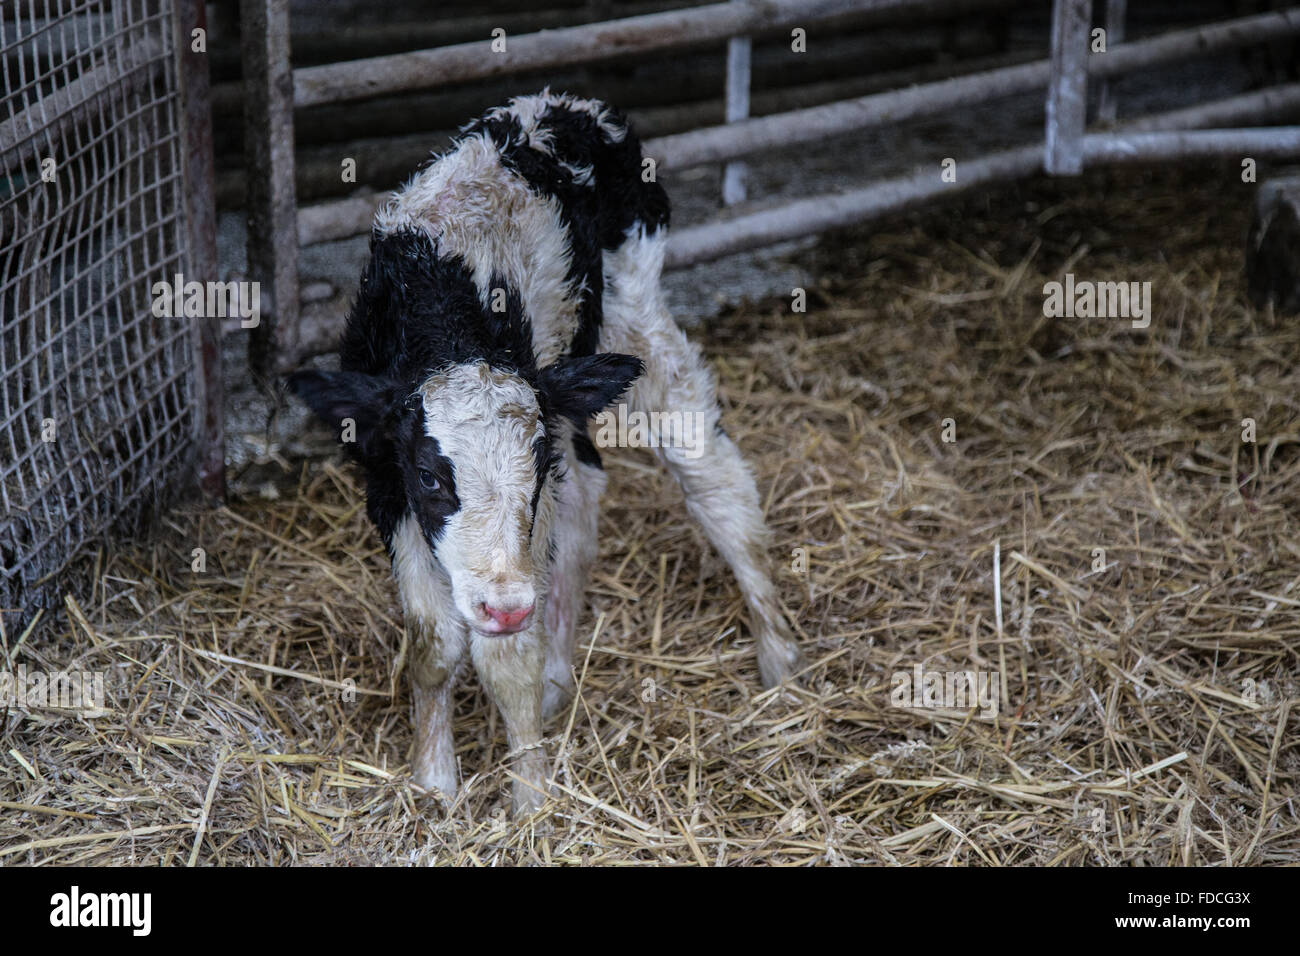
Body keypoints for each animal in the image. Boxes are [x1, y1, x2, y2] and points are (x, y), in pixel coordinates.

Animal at [290, 90, 801, 815]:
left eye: (525, 475)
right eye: (430, 476)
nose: (503, 606)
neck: (444, 302)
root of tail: (569, 108)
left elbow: (509, 658)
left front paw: (529, 801)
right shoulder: (386, 478)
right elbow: (435, 642)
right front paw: (435, 787)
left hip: (634, 321)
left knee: (714, 481)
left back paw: (780, 664)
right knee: (584, 506)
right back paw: (562, 681)